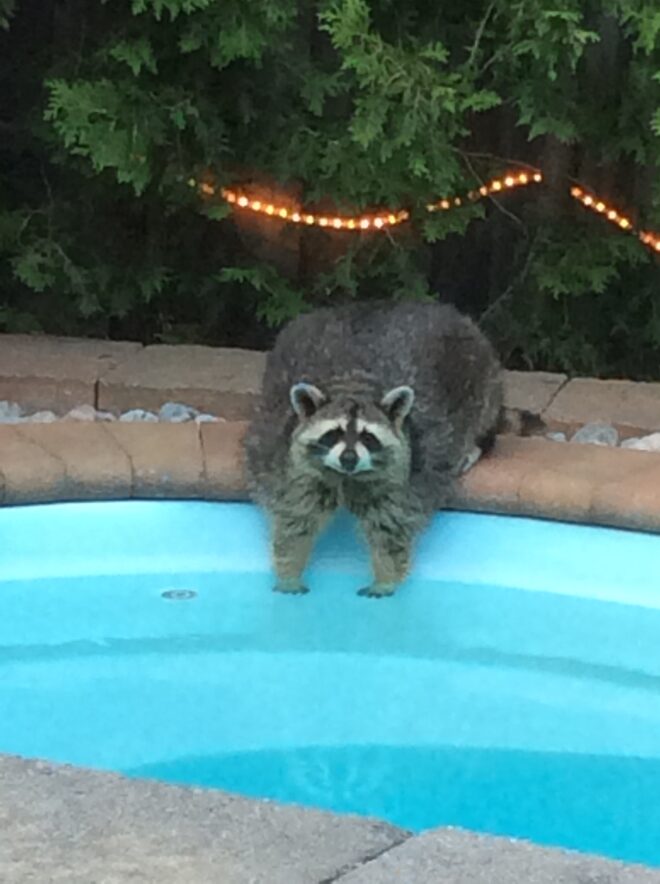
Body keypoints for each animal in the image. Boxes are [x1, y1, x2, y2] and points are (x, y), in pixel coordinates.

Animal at [244, 300, 502, 598]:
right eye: (333, 434)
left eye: (368, 437)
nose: (349, 458)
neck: (353, 383)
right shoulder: (291, 465)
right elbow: (295, 519)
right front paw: (289, 575)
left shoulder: (405, 475)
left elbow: (389, 529)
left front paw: (385, 581)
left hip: (483, 378)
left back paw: (473, 447)